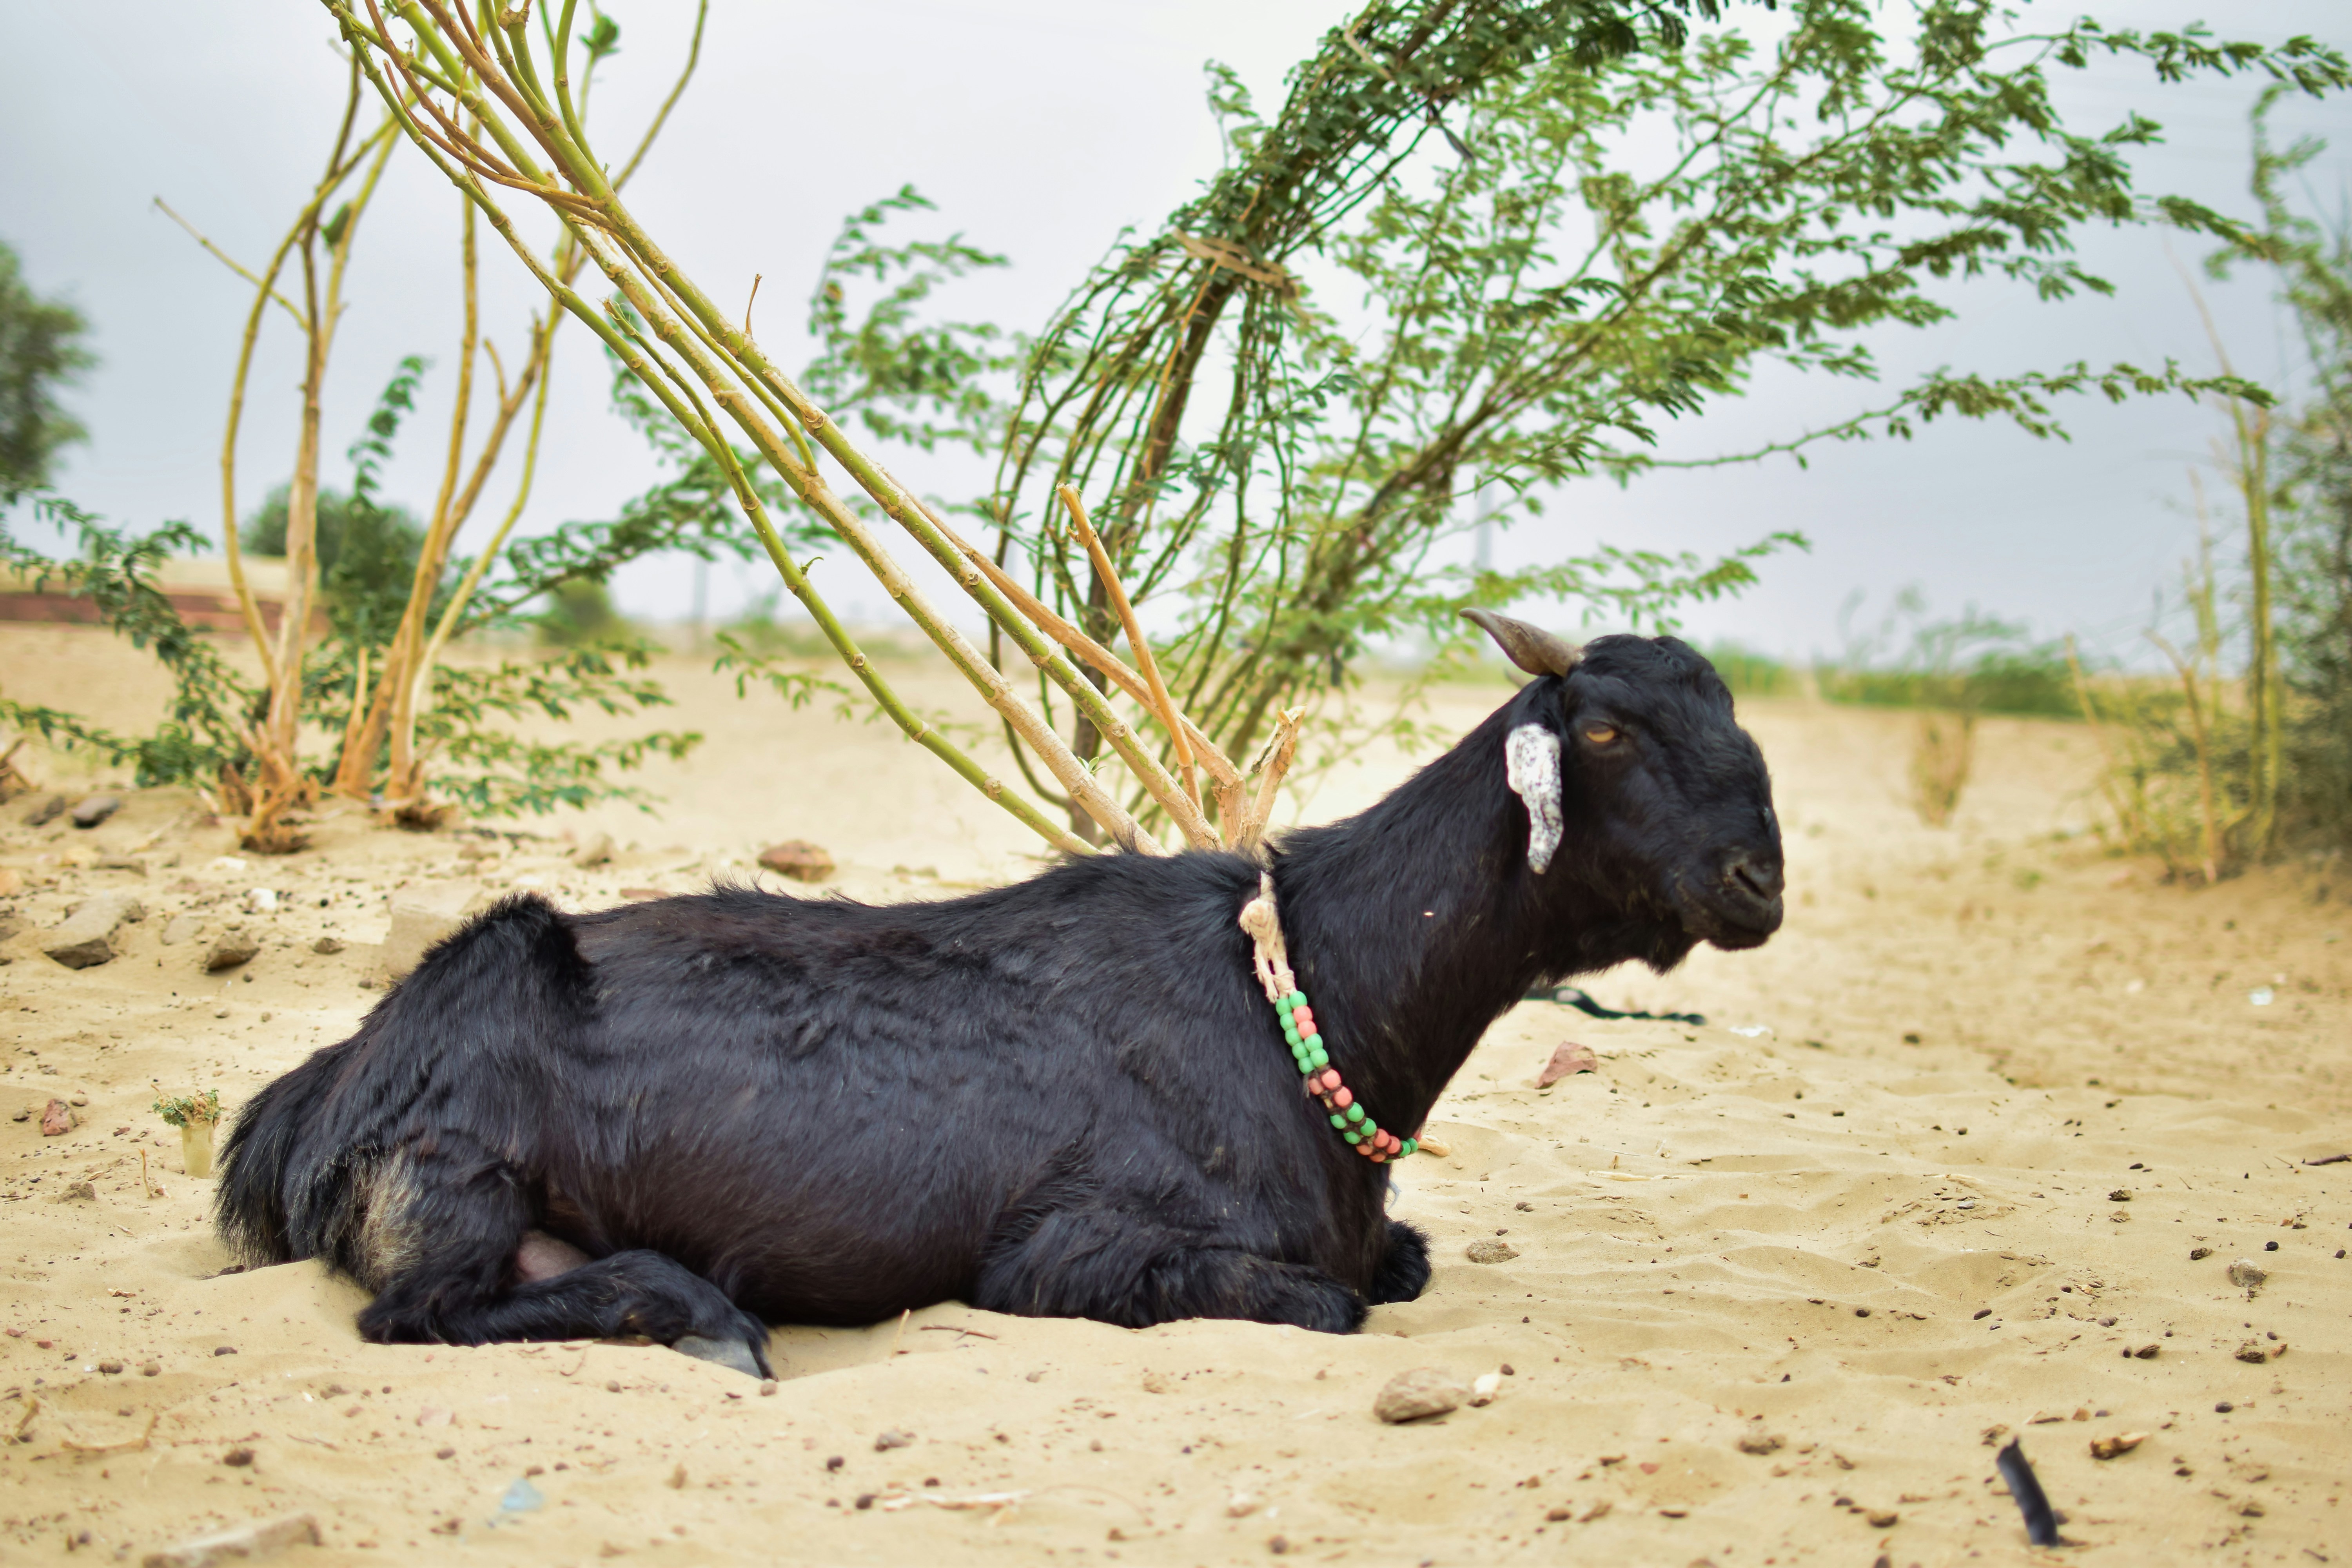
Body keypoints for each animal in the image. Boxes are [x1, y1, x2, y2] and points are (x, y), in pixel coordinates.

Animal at [215, 619, 1783, 1376]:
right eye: (1603, 729)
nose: (1756, 878)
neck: (1301, 987)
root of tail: (322, 1084)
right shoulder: (1064, 1252)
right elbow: (1327, 1303)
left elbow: (1395, 1269)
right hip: (460, 1164)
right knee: (421, 1313)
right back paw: (696, 1310)